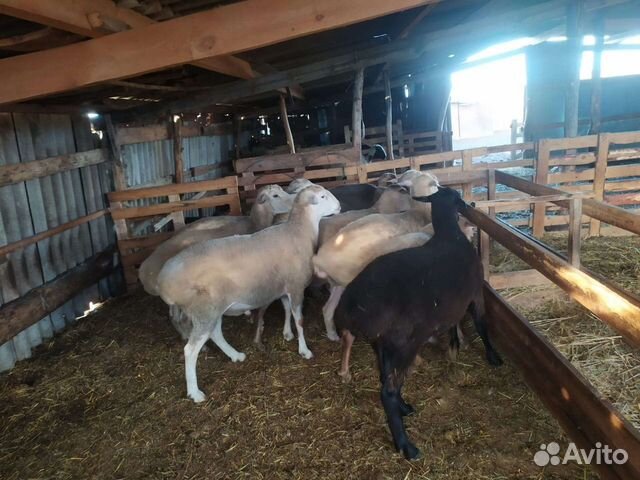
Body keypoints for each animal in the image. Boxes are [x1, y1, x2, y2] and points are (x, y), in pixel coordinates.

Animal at [157, 185, 341, 403]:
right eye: (322, 196)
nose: (339, 206)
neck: (299, 231)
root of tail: (164, 282)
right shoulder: (296, 287)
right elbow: (300, 320)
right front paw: (304, 350)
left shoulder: (284, 287)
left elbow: (287, 310)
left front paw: (287, 334)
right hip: (204, 310)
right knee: (190, 350)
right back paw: (195, 392)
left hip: (214, 309)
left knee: (215, 333)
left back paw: (236, 355)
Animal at [333, 186, 503, 459]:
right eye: (458, 198)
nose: (471, 205)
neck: (448, 235)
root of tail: (352, 307)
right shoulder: (476, 292)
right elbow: (481, 323)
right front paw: (492, 356)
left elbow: (454, 324)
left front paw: (455, 346)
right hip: (404, 342)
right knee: (388, 391)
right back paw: (406, 445)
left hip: (383, 342)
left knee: (385, 377)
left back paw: (404, 407)